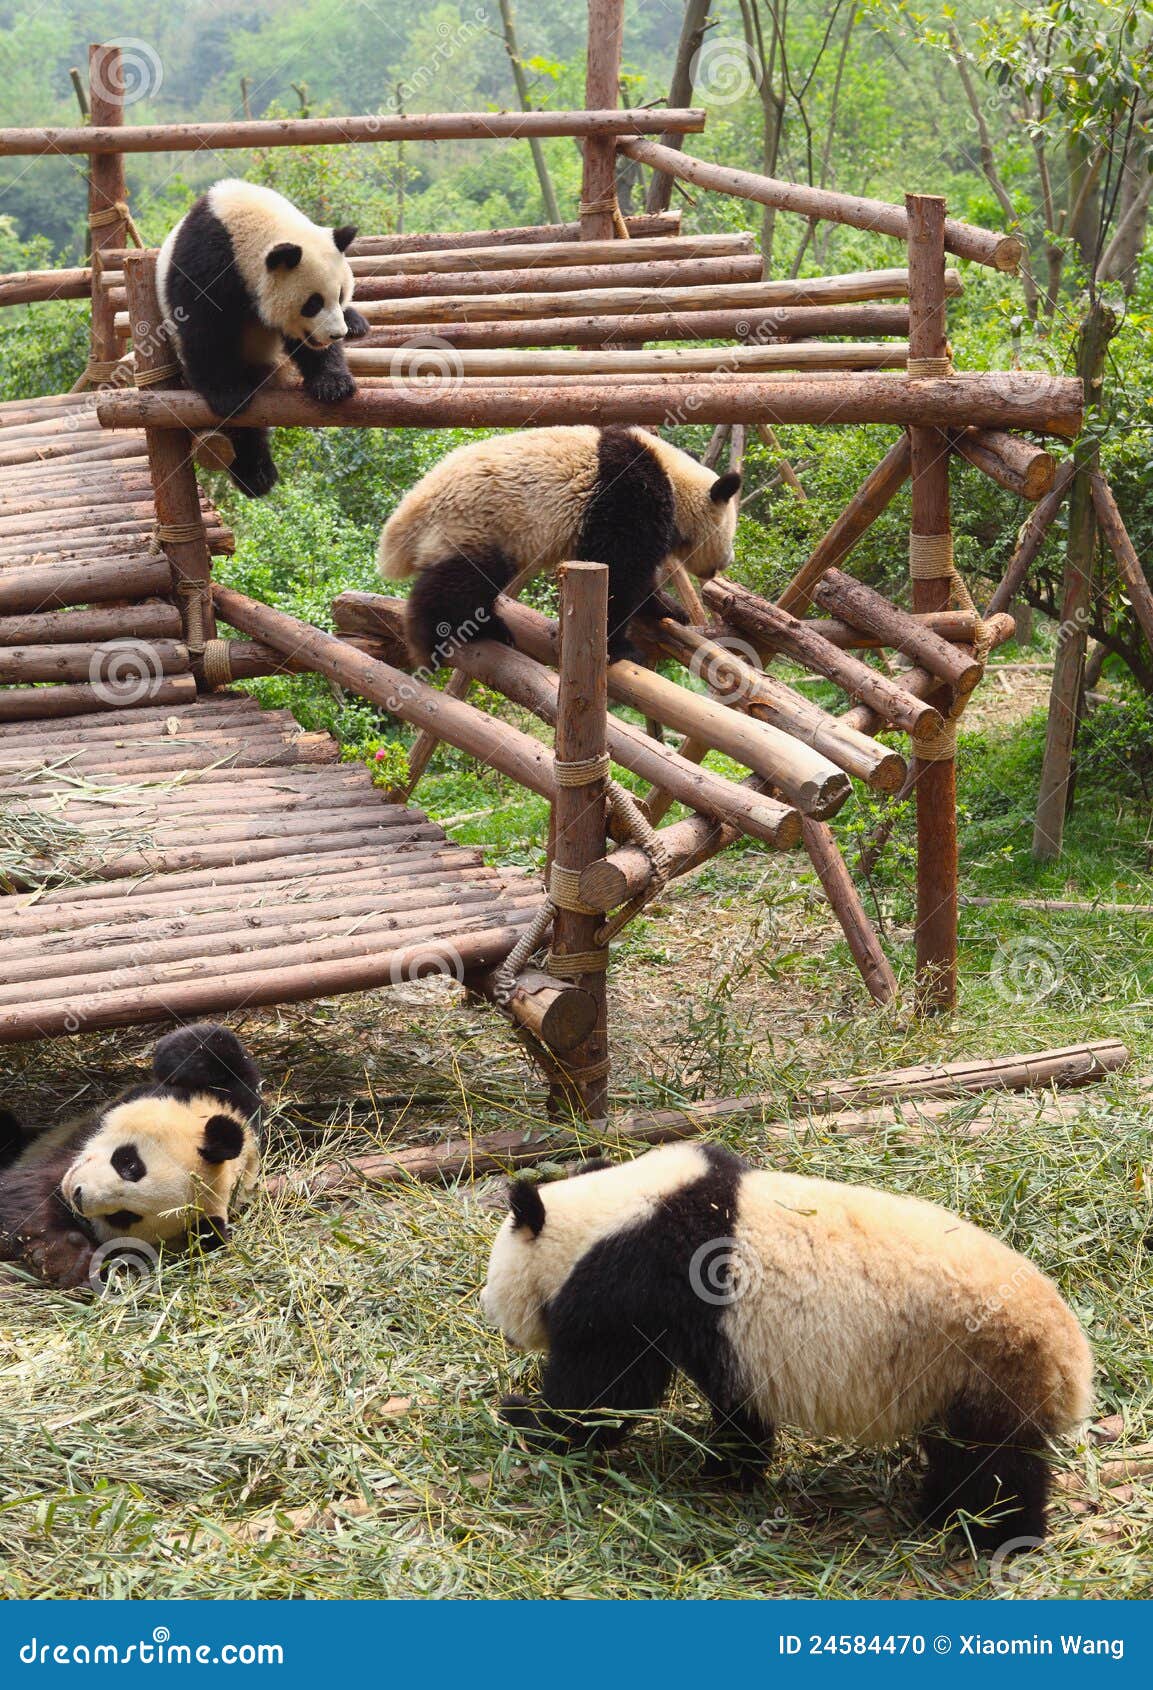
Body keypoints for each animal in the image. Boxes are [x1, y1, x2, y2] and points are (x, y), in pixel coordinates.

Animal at [0, 1023, 262, 1290]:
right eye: (129, 1163)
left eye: (124, 1216)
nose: (78, 1196)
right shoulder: (238, 1110)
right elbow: (216, 1051)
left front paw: (65, 1258)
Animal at [157, 180, 370, 498]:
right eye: (313, 303)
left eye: (341, 293)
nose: (336, 334)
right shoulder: (205, 261)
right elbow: (204, 332)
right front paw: (228, 394)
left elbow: (310, 349)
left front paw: (333, 384)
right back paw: (256, 475)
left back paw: (356, 322)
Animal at [377, 425, 742, 666]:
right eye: (730, 531)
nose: (725, 561)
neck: (673, 481)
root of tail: (406, 515)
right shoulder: (627, 498)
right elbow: (621, 574)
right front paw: (621, 649)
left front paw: (670, 609)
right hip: (478, 523)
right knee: (461, 581)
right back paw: (447, 635)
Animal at [481, 1143, 1093, 1549]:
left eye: (492, 1277)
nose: (495, 1319)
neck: (611, 1212)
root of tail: (1072, 1365)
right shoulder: (722, 1336)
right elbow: (734, 1405)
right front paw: (728, 1472)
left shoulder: (638, 1284)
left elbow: (606, 1393)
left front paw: (523, 1415)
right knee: (965, 1455)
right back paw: (943, 1511)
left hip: (982, 1363)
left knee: (992, 1467)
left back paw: (984, 1532)